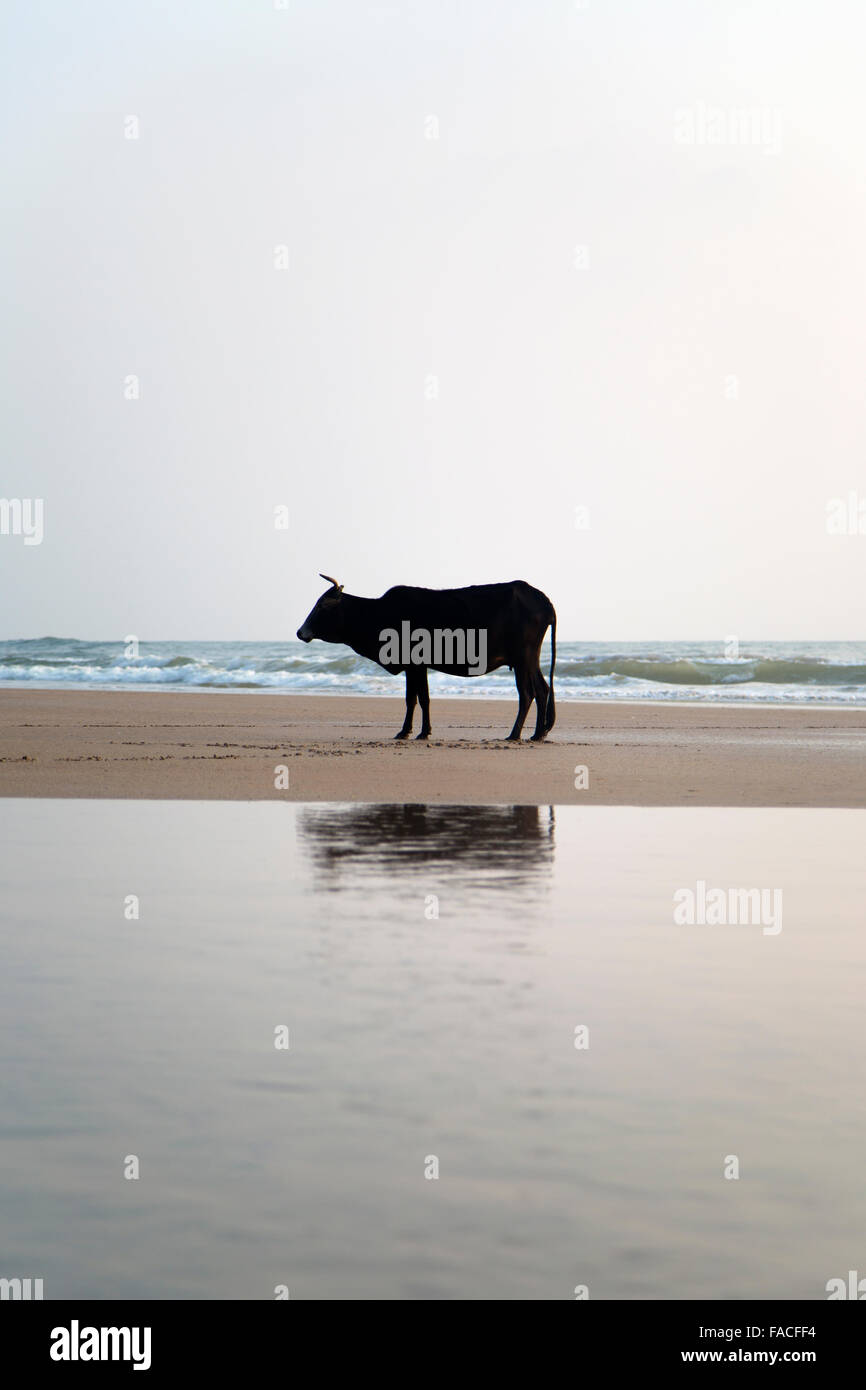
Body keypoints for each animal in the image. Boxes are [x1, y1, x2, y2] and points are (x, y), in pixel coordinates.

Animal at [296, 575, 556, 742]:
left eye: (322, 606)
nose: (300, 632)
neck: (377, 614)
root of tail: (542, 599)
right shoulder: (415, 666)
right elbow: (416, 698)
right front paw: (413, 731)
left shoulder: (415, 664)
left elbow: (418, 698)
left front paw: (415, 732)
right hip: (530, 660)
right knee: (542, 689)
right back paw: (538, 733)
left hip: (523, 659)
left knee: (528, 693)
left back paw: (515, 734)